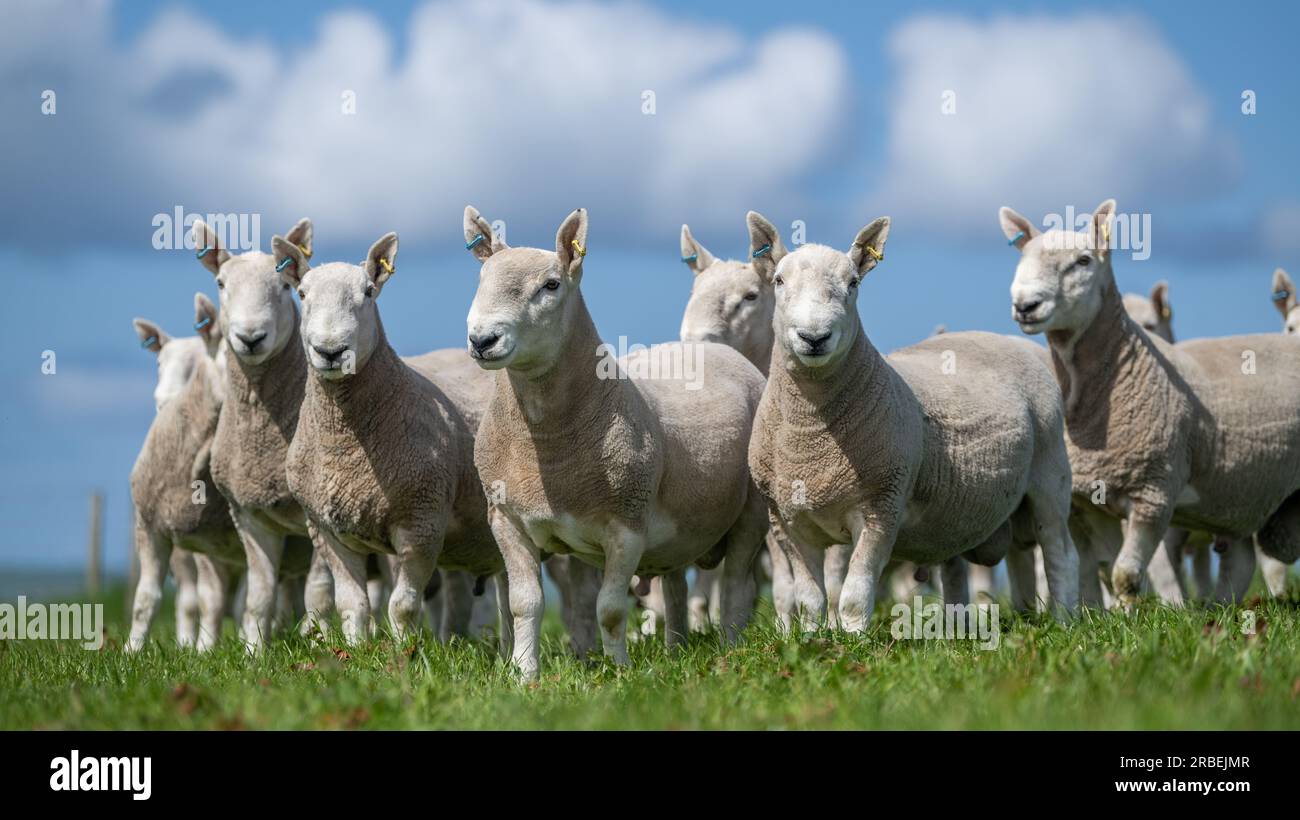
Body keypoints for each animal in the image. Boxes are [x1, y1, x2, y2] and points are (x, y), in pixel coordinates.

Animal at [191, 218, 330, 650]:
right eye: (220, 283)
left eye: (285, 287)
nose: (251, 338)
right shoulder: (249, 515)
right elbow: (258, 597)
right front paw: (254, 651)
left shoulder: (318, 515)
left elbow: (319, 591)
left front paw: (323, 647)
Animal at [274, 232, 510, 648]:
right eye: (301, 293)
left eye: (368, 292)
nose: (331, 351)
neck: (344, 443)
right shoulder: (327, 531)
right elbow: (352, 604)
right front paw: (356, 649)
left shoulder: (421, 521)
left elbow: (402, 605)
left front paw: (405, 653)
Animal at [463, 206, 768, 680]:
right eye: (481, 279)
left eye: (551, 285)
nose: (482, 340)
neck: (547, 445)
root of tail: (723, 352)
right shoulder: (507, 519)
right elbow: (523, 604)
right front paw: (523, 674)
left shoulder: (626, 527)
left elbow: (608, 609)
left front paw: (619, 671)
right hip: (678, 531)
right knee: (676, 588)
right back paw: (675, 650)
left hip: (750, 512)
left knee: (737, 586)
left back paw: (731, 650)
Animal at [745, 210, 1079, 632]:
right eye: (778, 280)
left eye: (853, 283)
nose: (815, 337)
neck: (812, 435)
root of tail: (1006, 339)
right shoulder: (787, 523)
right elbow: (809, 599)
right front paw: (809, 638)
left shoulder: (882, 504)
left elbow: (853, 595)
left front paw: (854, 638)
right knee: (989, 562)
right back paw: (974, 627)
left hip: (1050, 473)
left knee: (1059, 552)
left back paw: (1065, 621)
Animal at [1002, 199, 1300, 604]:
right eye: (1022, 258)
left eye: (1083, 260)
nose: (1025, 305)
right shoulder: (1090, 502)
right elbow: (1100, 573)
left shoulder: (1153, 492)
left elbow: (1126, 575)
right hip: (1238, 498)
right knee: (1240, 562)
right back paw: (1220, 608)